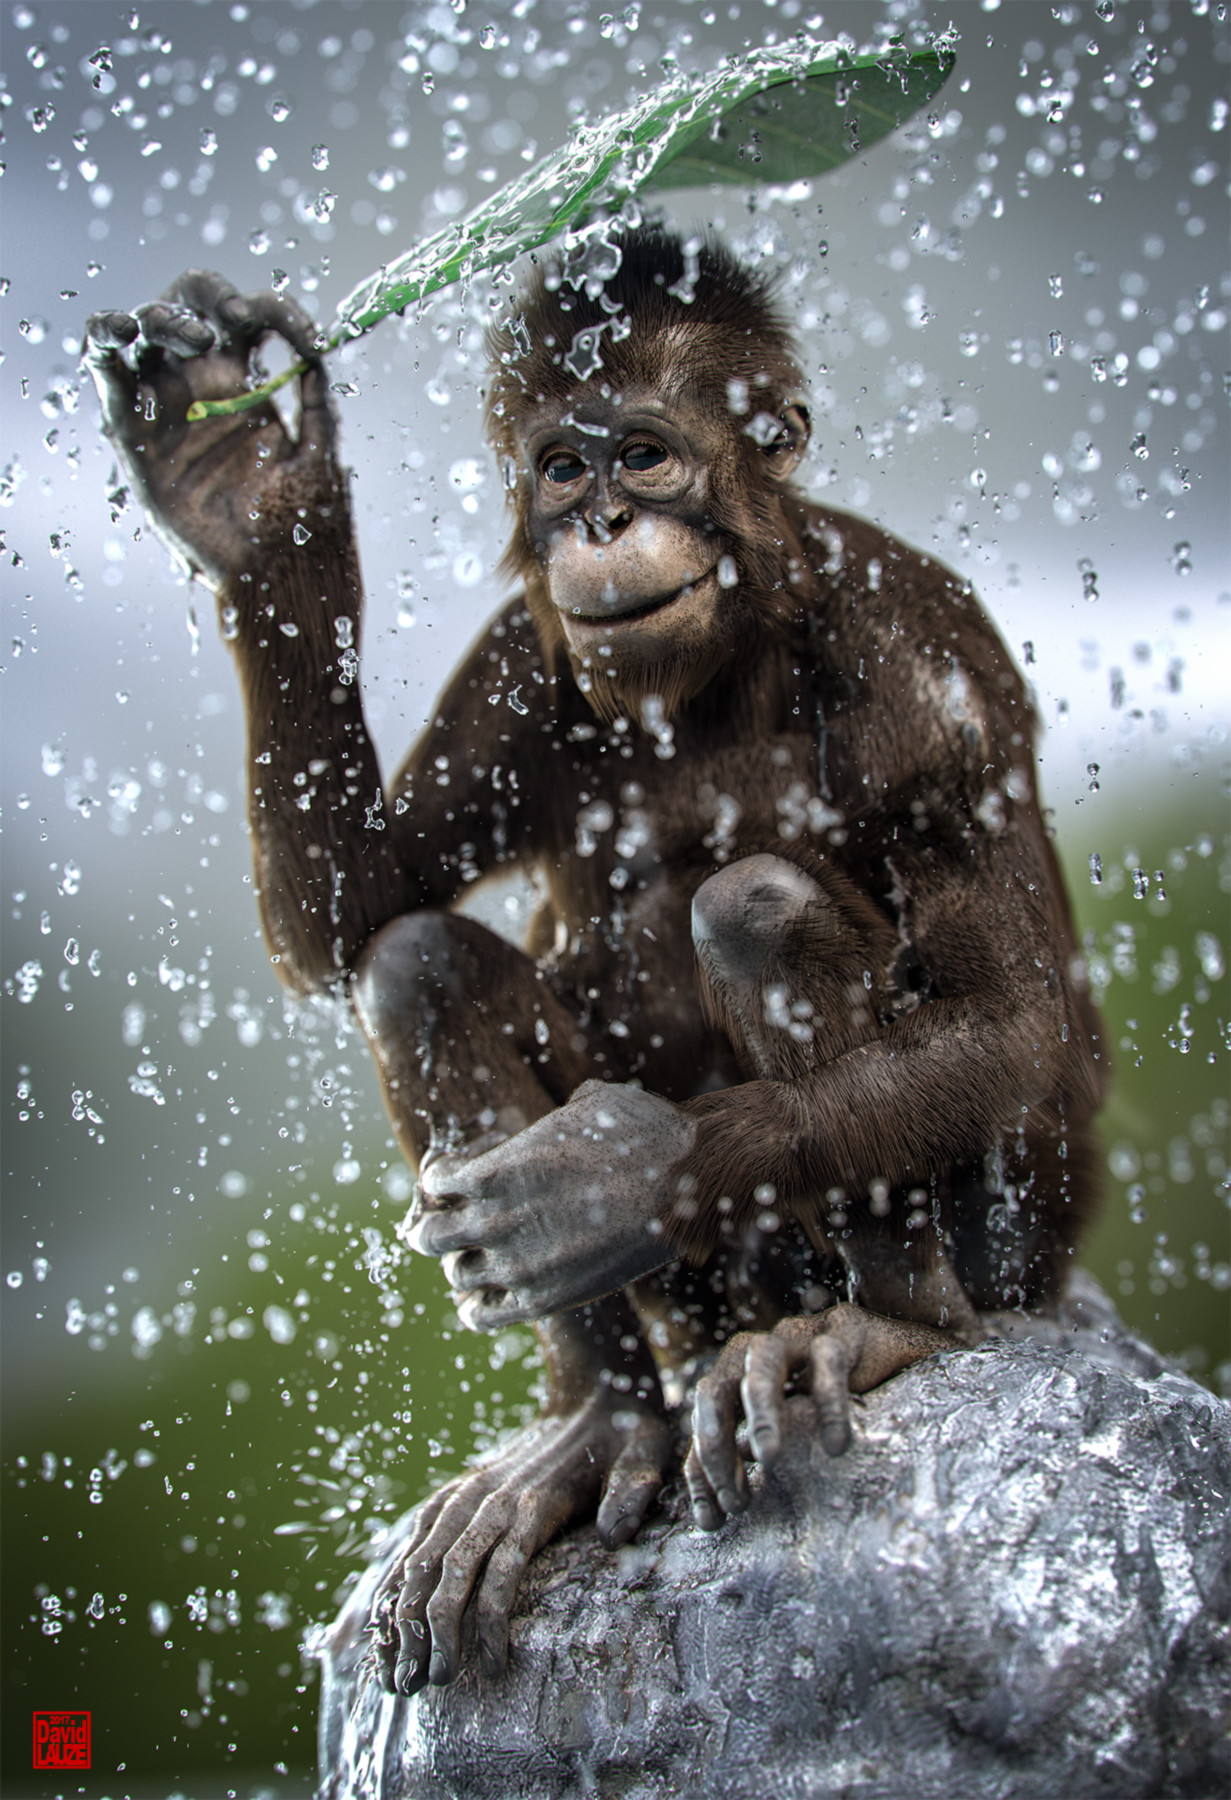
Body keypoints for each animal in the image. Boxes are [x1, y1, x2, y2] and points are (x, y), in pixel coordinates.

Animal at [85, 227, 1104, 1700]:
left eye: (646, 455)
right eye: (564, 468)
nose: (603, 526)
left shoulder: (922, 669)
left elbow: (1012, 1019)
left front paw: (624, 1175)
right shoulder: (515, 664)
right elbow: (358, 910)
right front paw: (238, 484)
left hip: (1015, 1239)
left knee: (751, 905)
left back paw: (885, 1322)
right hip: (700, 1305)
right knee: (417, 963)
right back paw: (601, 1427)